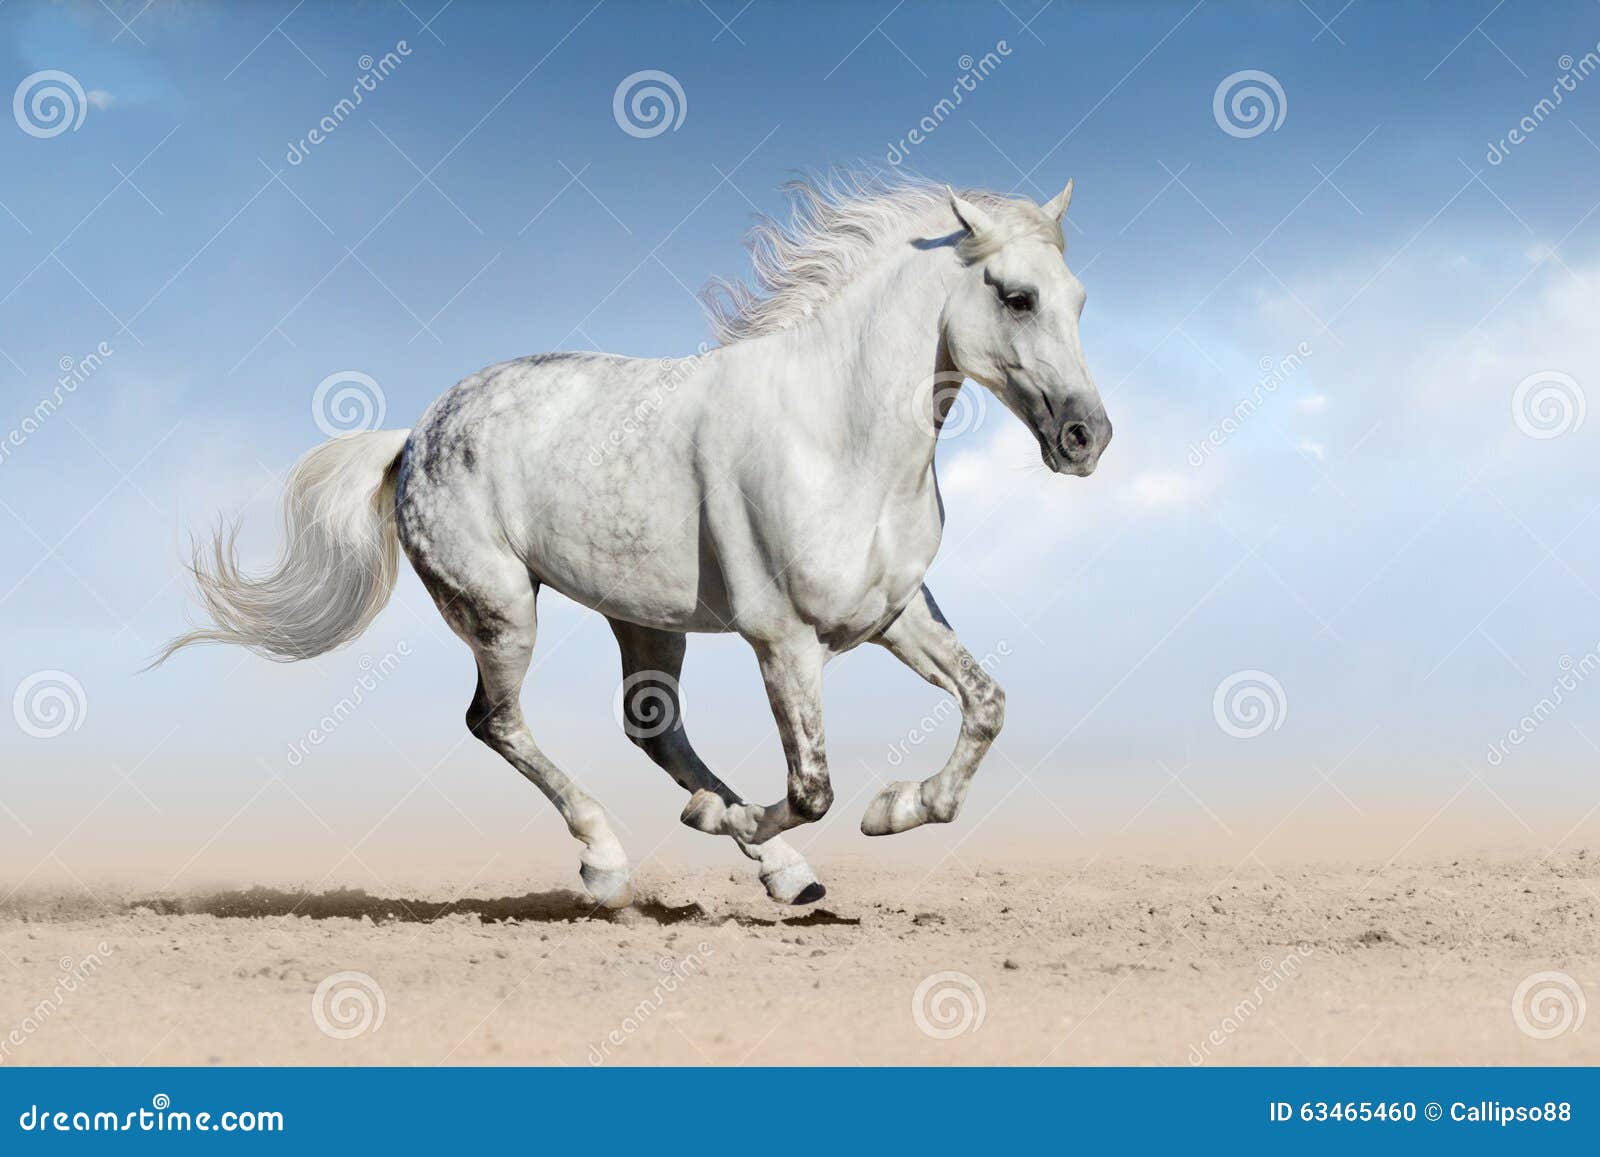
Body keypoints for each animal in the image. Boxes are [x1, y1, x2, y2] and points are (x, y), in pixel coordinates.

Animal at [160, 174, 1112, 908]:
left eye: (1078, 300)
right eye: (1016, 296)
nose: (1086, 438)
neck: (837, 436)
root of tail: (413, 435)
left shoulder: (894, 614)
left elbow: (986, 706)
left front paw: (895, 808)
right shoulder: (782, 638)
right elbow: (811, 786)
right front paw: (746, 819)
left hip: (646, 620)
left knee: (651, 729)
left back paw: (783, 874)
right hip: (502, 611)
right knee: (497, 721)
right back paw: (610, 865)